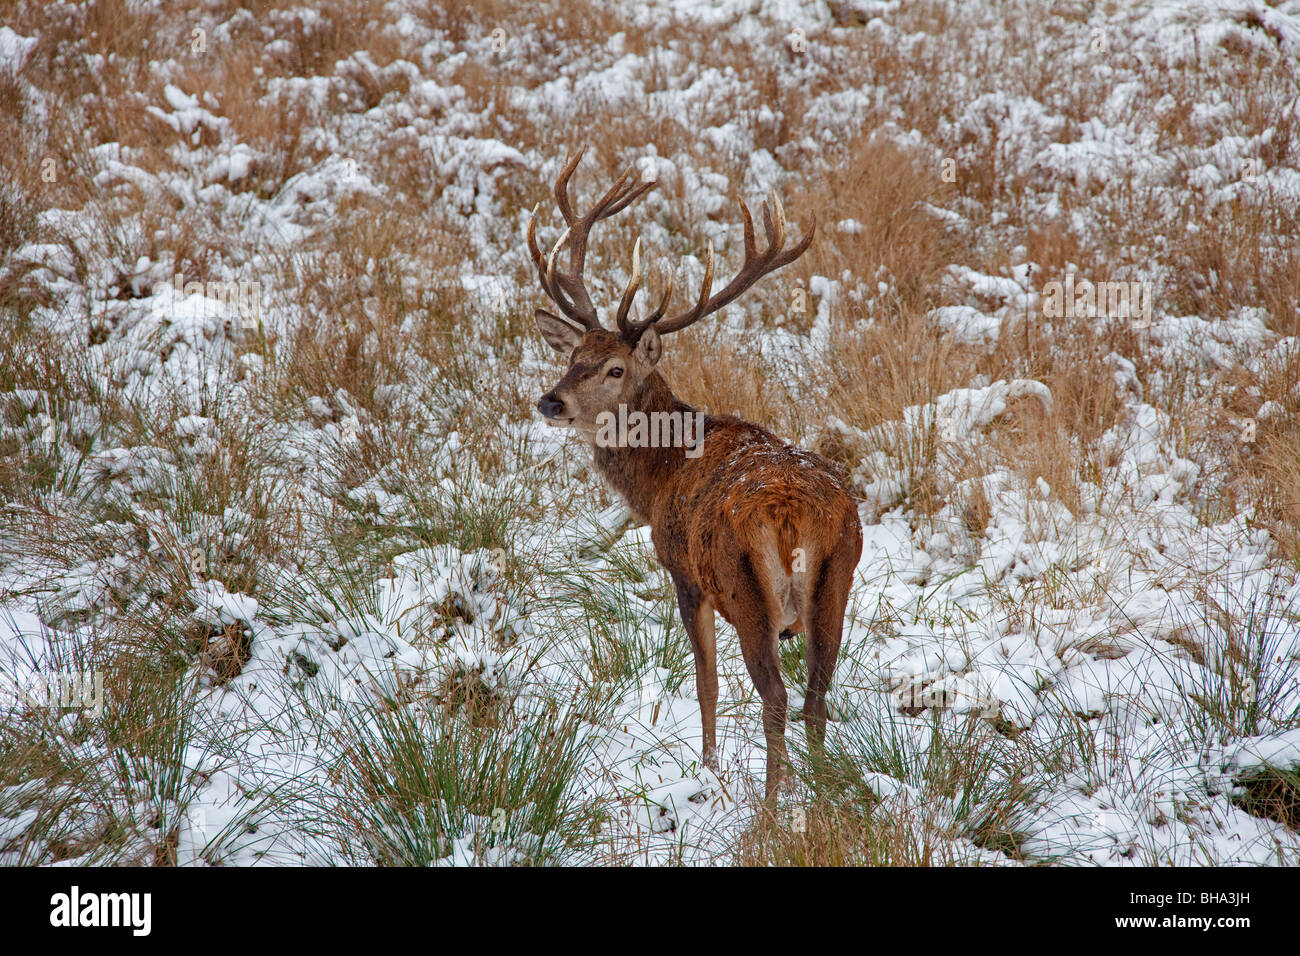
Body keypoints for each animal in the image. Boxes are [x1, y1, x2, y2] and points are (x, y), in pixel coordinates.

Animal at [527, 148, 863, 804]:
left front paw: (705, 769)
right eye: (572, 358)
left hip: (747, 588)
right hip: (837, 581)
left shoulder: (683, 572)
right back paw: (818, 797)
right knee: (815, 698)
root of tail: (795, 515)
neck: (658, 479)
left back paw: (770, 808)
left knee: (775, 696)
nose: (551, 402)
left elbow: (706, 682)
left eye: (614, 368)